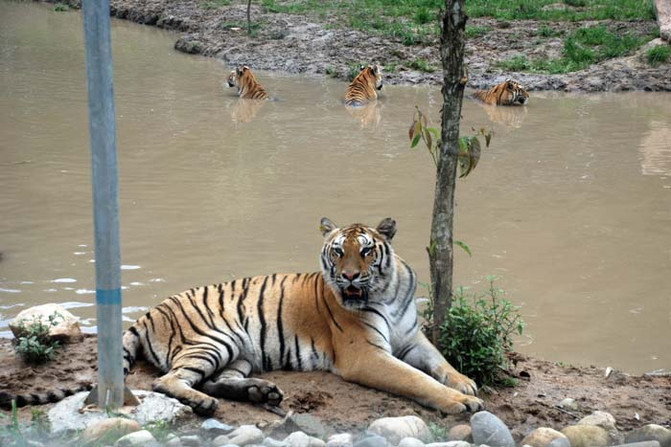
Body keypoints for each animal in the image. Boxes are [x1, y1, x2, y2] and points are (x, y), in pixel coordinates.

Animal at [0, 218, 483, 417]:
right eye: (336, 252)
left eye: (365, 252)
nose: (347, 276)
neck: (385, 291)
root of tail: (150, 310)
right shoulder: (366, 355)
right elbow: (415, 379)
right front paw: (459, 402)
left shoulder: (412, 337)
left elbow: (439, 363)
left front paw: (465, 384)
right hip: (215, 339)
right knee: (168, 382)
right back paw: (205, 404)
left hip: (242, 353)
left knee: (214, 380)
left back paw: (260, 392)